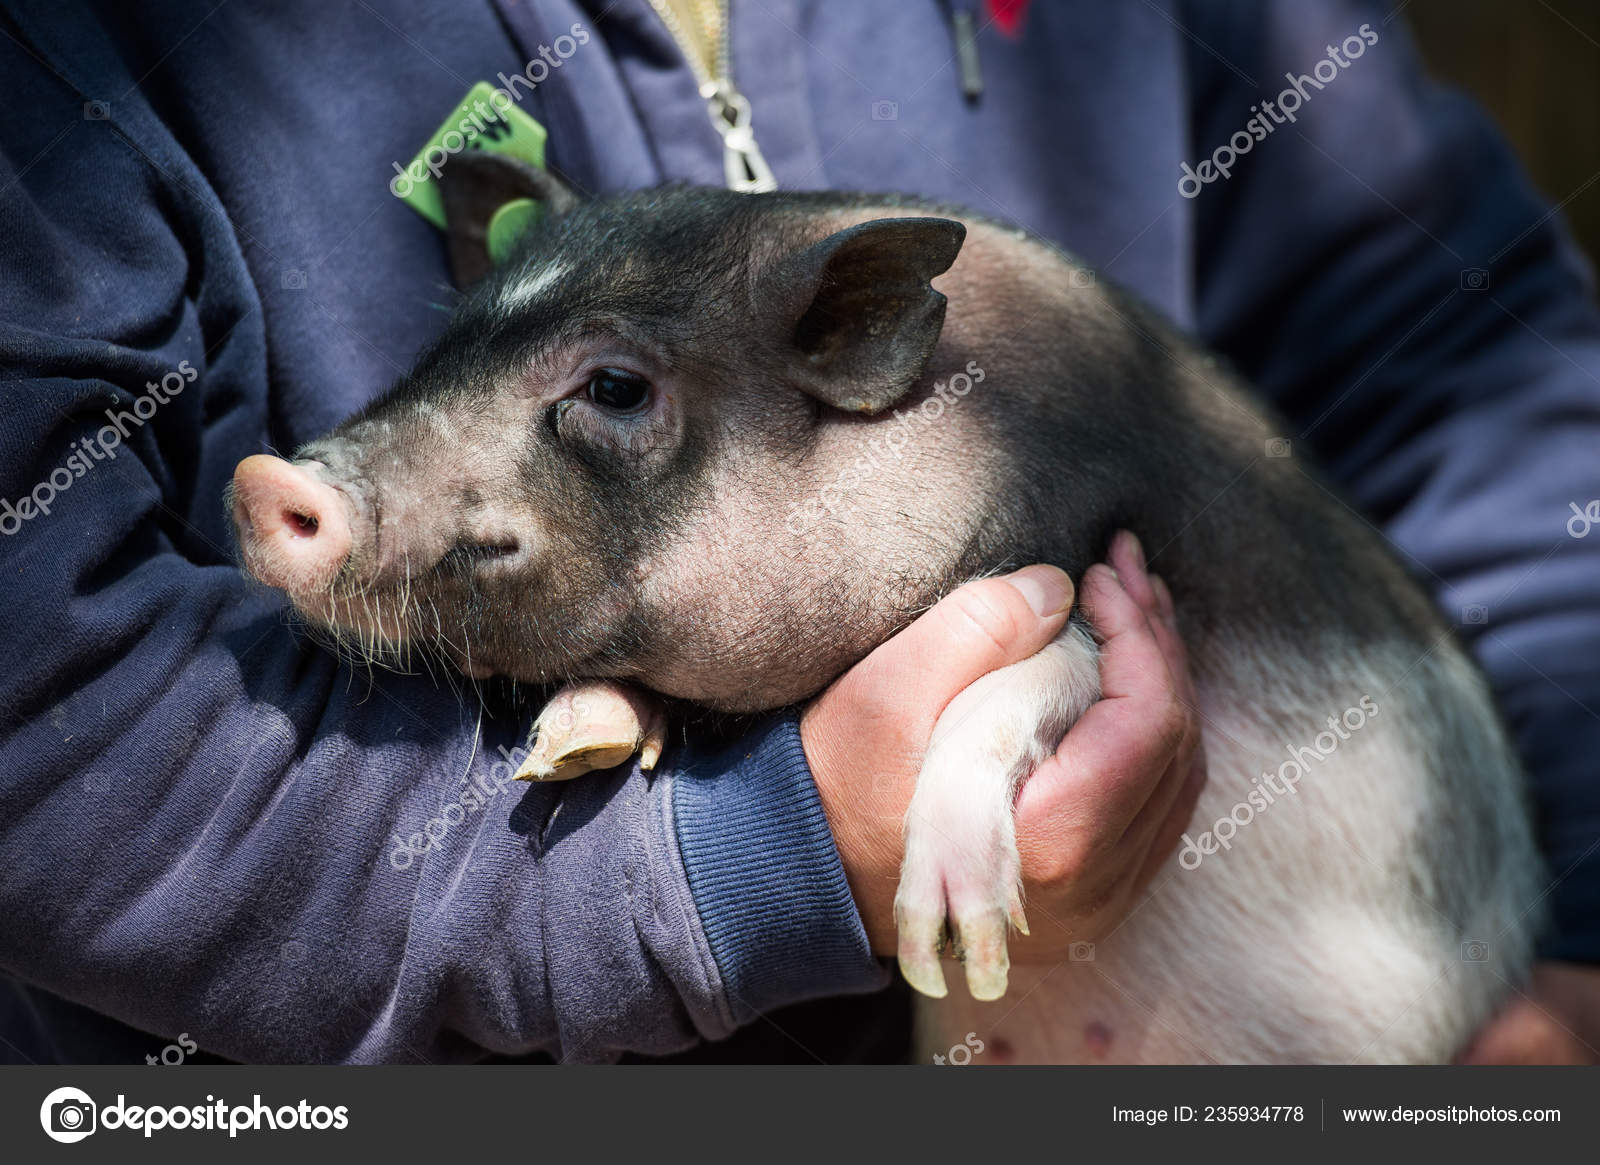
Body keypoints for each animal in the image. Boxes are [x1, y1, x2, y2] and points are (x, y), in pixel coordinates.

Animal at [230, 153, 1543, 1063]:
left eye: (614, 387)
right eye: (447, 344)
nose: (262, 480)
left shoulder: (1088, 572)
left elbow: (1021, 684)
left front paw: (950, 932)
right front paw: (572, 745)